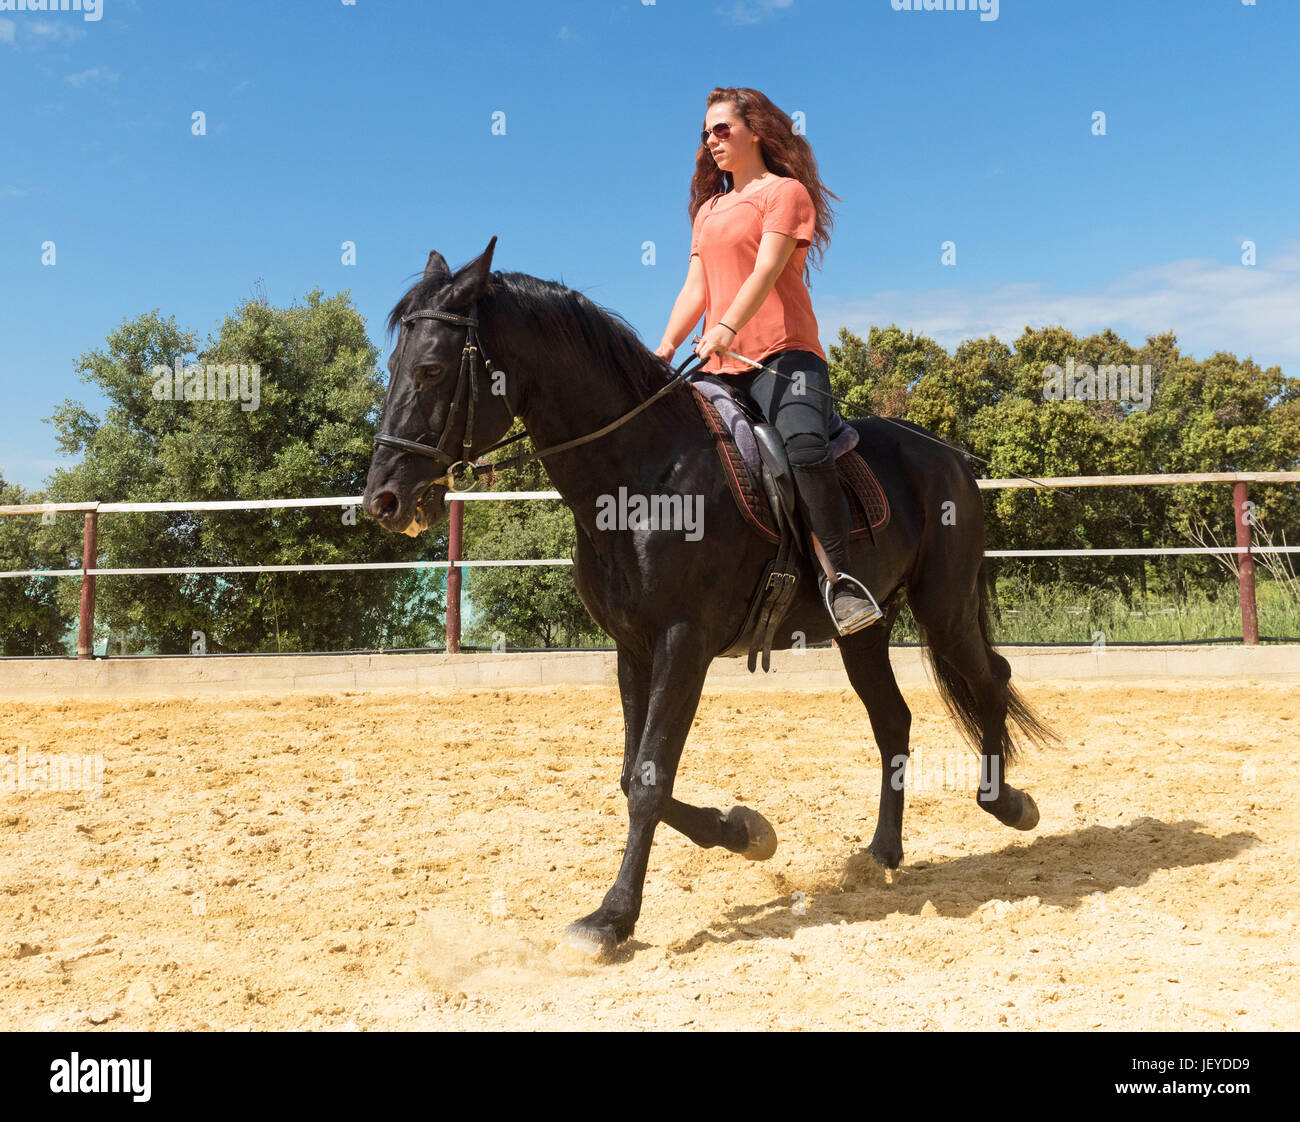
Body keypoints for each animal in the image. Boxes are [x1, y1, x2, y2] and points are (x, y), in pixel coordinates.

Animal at [363, 237, 1057, 955]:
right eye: (393, 365)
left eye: (432, 370)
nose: (382, 499)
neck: (643, 476)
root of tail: (947, 455)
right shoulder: (633, 646)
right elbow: (633, 772)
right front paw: (745, 832)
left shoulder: (683, 641)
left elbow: (648, 777)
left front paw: (611, 918)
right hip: (860, 632)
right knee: (894, 719)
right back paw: (882, 852)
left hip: (943, 608)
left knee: (991, 677)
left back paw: (1008, 804)